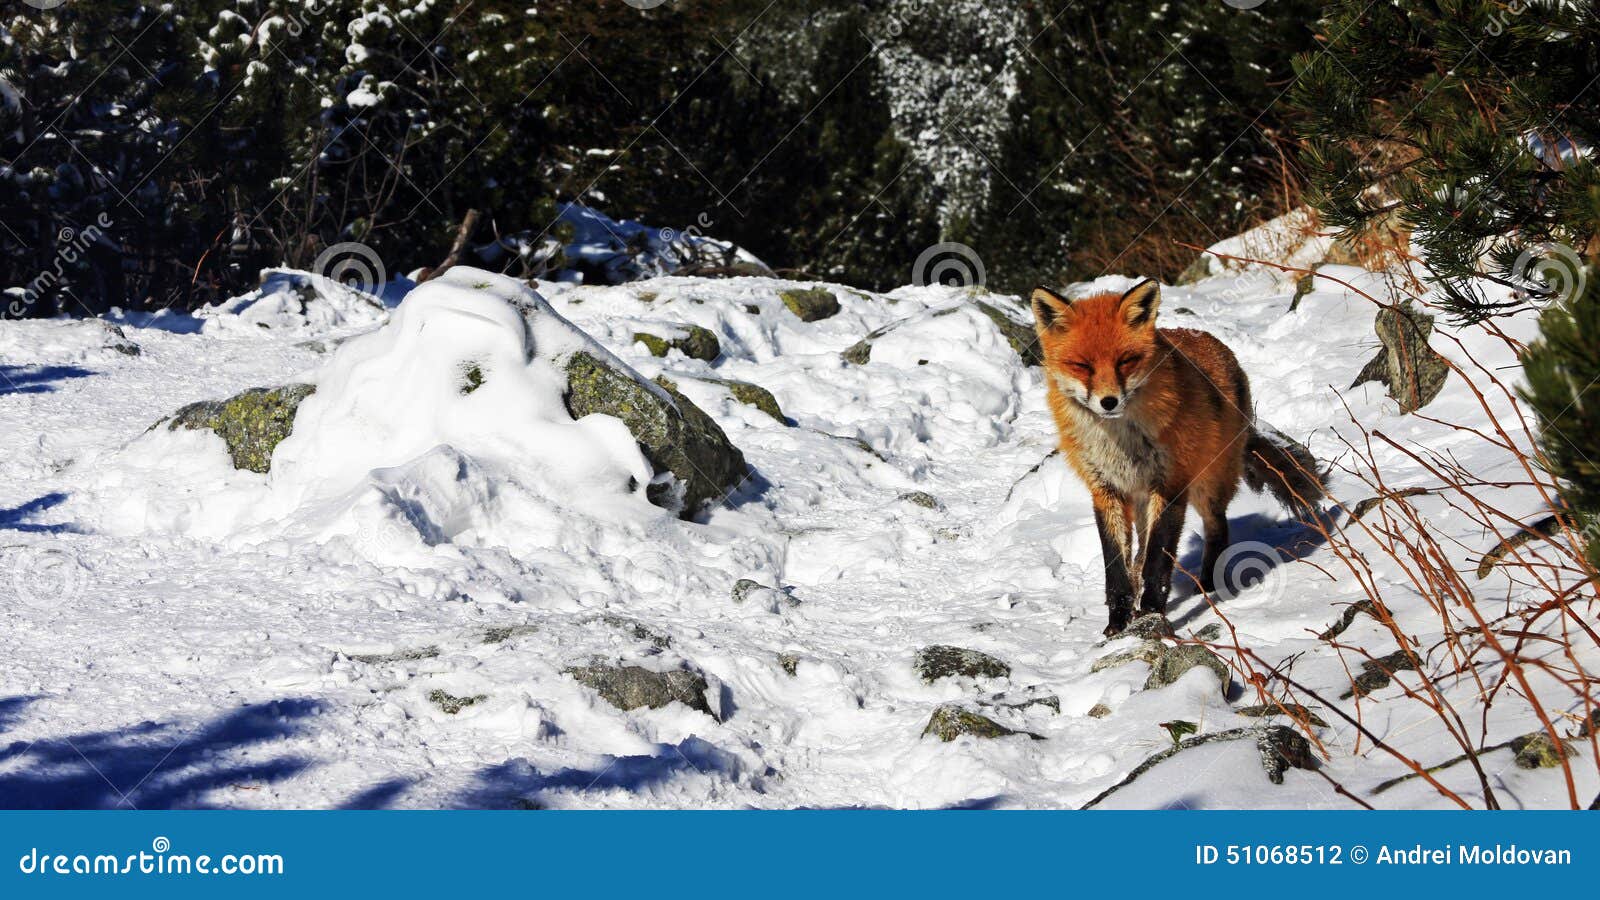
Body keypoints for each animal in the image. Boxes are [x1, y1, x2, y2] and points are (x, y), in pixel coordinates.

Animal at [1031, 278, 1327, 637]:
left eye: (1125, 361)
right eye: (1082, 365)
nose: (1109, 402)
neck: (1120, 439)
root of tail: (1218, 347)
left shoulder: (1171, 484)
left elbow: (1158, 563)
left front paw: (1151, 613)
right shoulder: (1105, 490)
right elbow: (1117, 569)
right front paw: (1118, 622)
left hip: (1206, 486)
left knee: (1217, 527)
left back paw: (1209, 584)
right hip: (1143, 501)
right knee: (1139, 554)